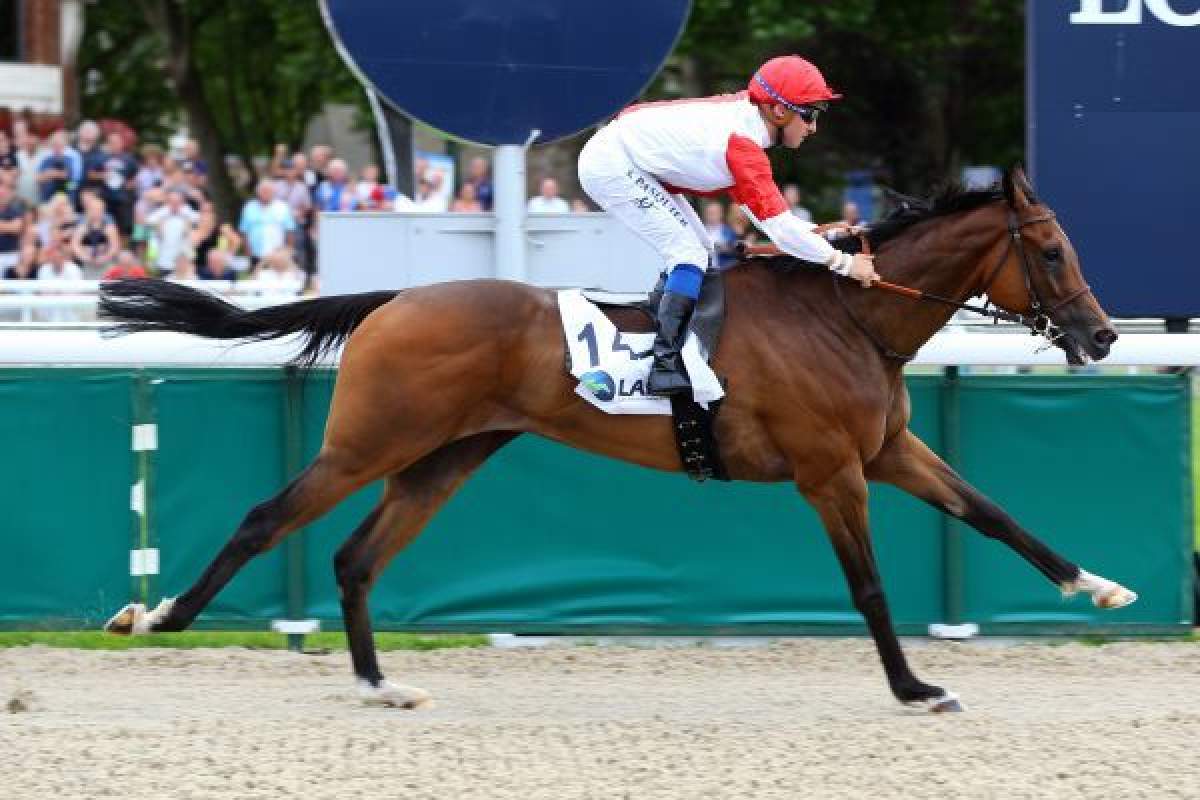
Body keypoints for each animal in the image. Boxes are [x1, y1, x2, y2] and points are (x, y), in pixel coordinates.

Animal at [101, 166, 1136, 713]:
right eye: (1052, 251)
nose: (1101, 337)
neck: (847, 317)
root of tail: (395, 301)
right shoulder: (831, 472)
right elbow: (871, 585)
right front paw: (917, 687)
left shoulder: (886, 454)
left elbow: (994, 515)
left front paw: (1098, 584)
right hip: (373, 442)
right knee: (266, 518)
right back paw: (157, 617)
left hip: (445, 457)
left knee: (356, 557)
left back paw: (379, 684)